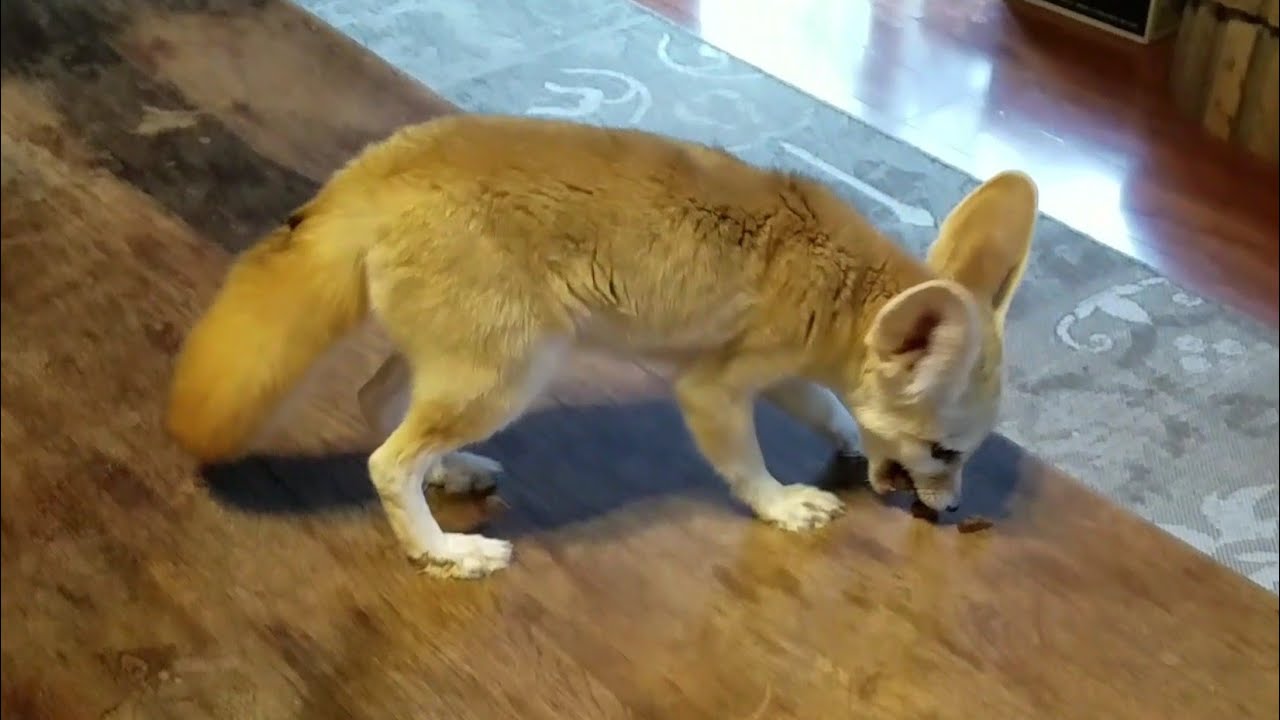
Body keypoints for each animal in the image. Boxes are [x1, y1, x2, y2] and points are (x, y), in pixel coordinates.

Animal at [166, 114, 1037, 579]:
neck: (847, 287)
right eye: (942, 452)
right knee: (385, 461)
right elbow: (747, 467)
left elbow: (828, 411)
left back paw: (449, 473)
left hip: (465, 362)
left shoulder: (780, 371)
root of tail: (371, 172)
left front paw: (849, 440)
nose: (950, 509)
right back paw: (442, 551)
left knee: (375, 405)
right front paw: (782, 503)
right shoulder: (714, 387)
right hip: (513, 372)